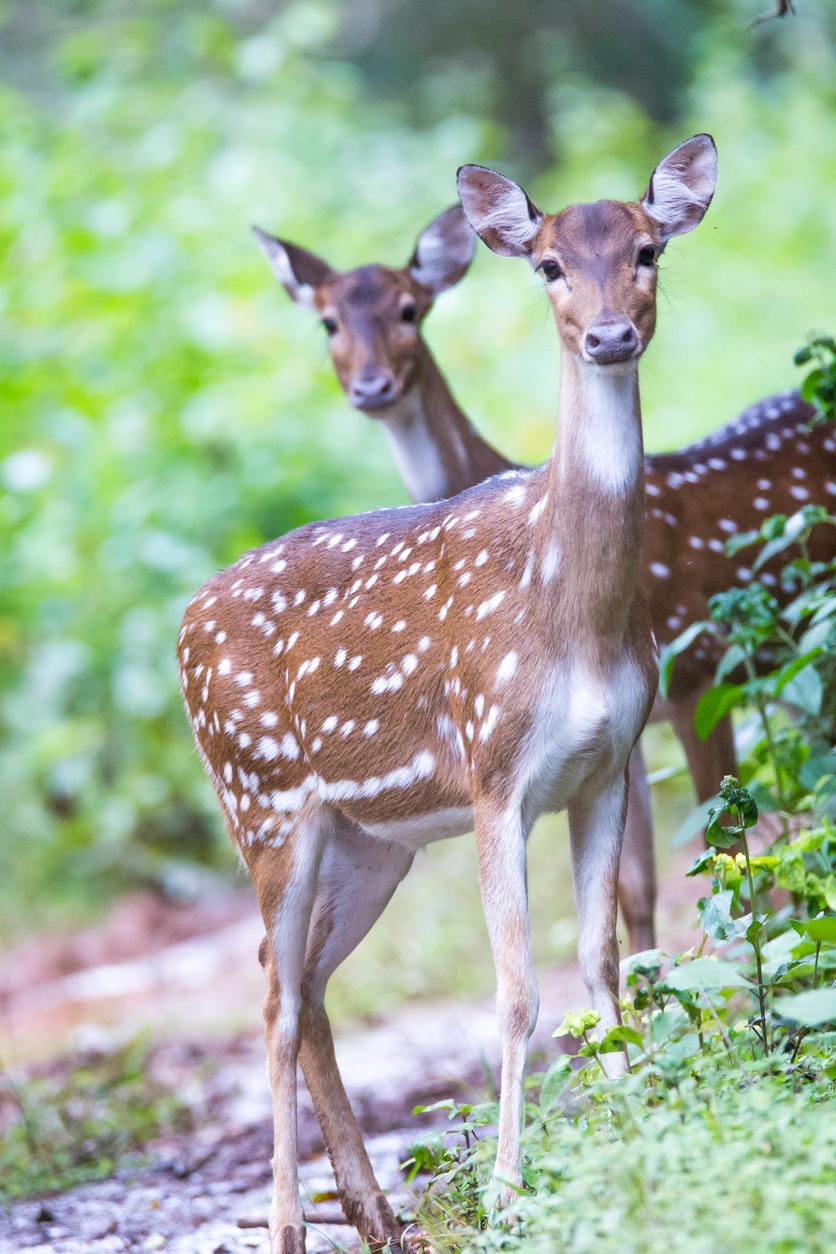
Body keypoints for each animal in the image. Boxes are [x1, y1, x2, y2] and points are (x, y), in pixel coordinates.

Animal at [178, 134, 717, 1253]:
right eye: (549, 264)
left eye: (647, 250)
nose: (609, 335)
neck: (571, 611)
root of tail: (178, 624)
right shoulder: (493, 771)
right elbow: (516, 992)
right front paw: (511, 1193)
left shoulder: (605, 766)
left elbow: (601, 961)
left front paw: (630, 1133)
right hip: (261, 804)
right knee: (275, 1004)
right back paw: (290, 1226)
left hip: (369, 841)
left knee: (299, 981)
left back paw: (371, 1214)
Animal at [252, 205, 836, 956]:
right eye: (327, 322)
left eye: (410, 309)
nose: (373, 387)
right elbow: (634, 888)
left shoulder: (697, 674)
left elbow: (730, 861)